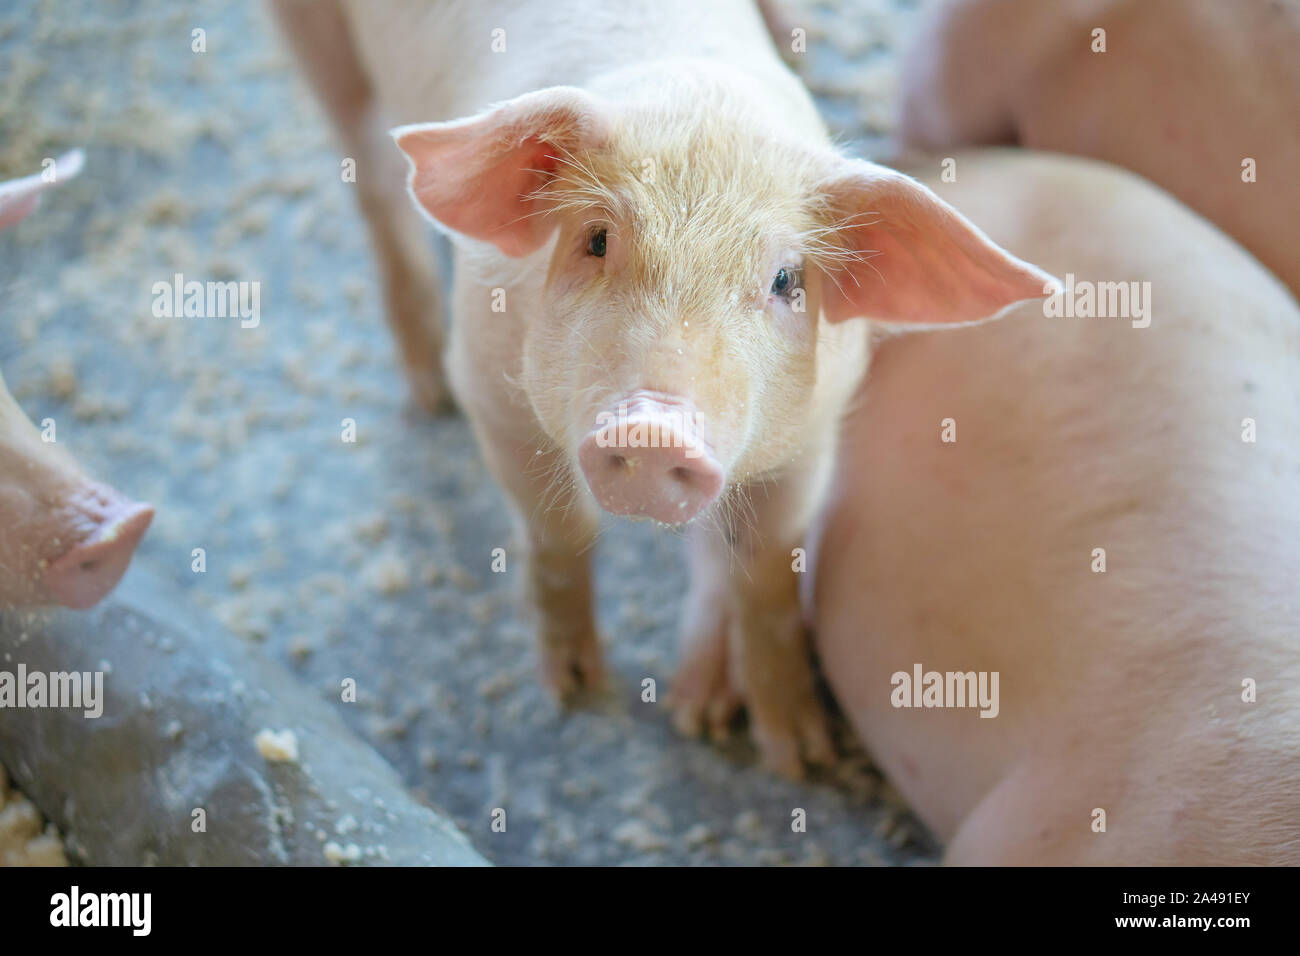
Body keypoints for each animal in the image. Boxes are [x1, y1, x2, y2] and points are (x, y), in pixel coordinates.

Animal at [269, 0, 1056, 775]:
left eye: (786, 280)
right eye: (595, 239)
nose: (653, 429)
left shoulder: (812, 436)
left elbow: (764, 574)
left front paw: (797, 756)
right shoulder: (491, 393)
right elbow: (558, 533)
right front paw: (576, 690)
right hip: (319, 42)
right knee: (372, 180)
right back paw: (425, 391)